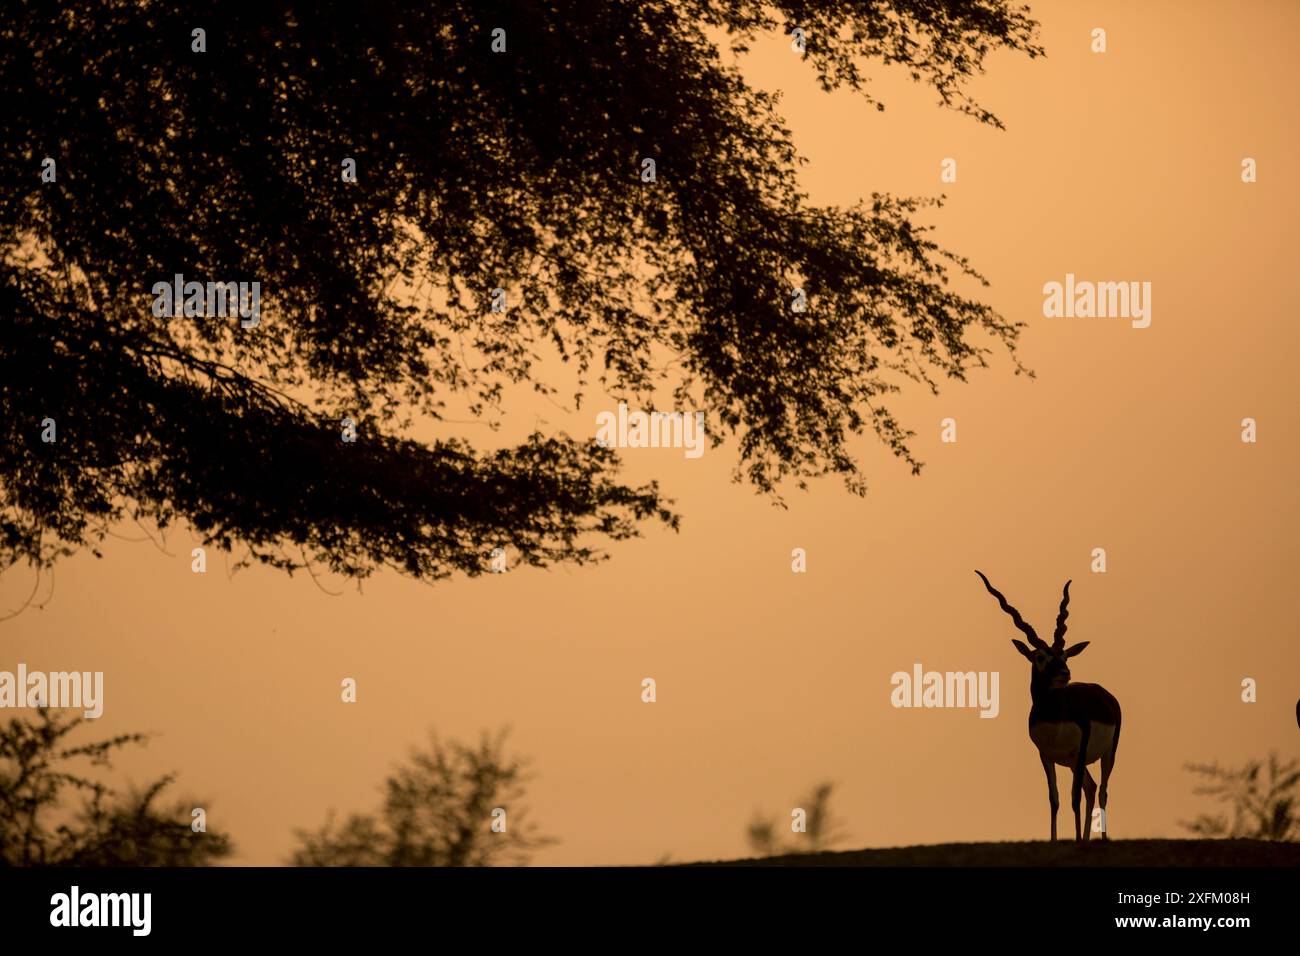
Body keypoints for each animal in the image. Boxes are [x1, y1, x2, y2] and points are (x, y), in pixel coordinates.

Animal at [975, 571, 1121, 841]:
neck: (1055, 716)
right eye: (1040, 657)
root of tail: (1104, 693)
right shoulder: (1045, 754)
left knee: (1102, 790)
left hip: (1106, 753)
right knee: (1091, 787)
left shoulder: (1079, 751)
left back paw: (1101, 839)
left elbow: (1073, 798)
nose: (1065, 673)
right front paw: (1055, 840)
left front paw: (1075, 840)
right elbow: (1054, 799)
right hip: (1075, 763)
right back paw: (1087, 839)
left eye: (1064, 655)